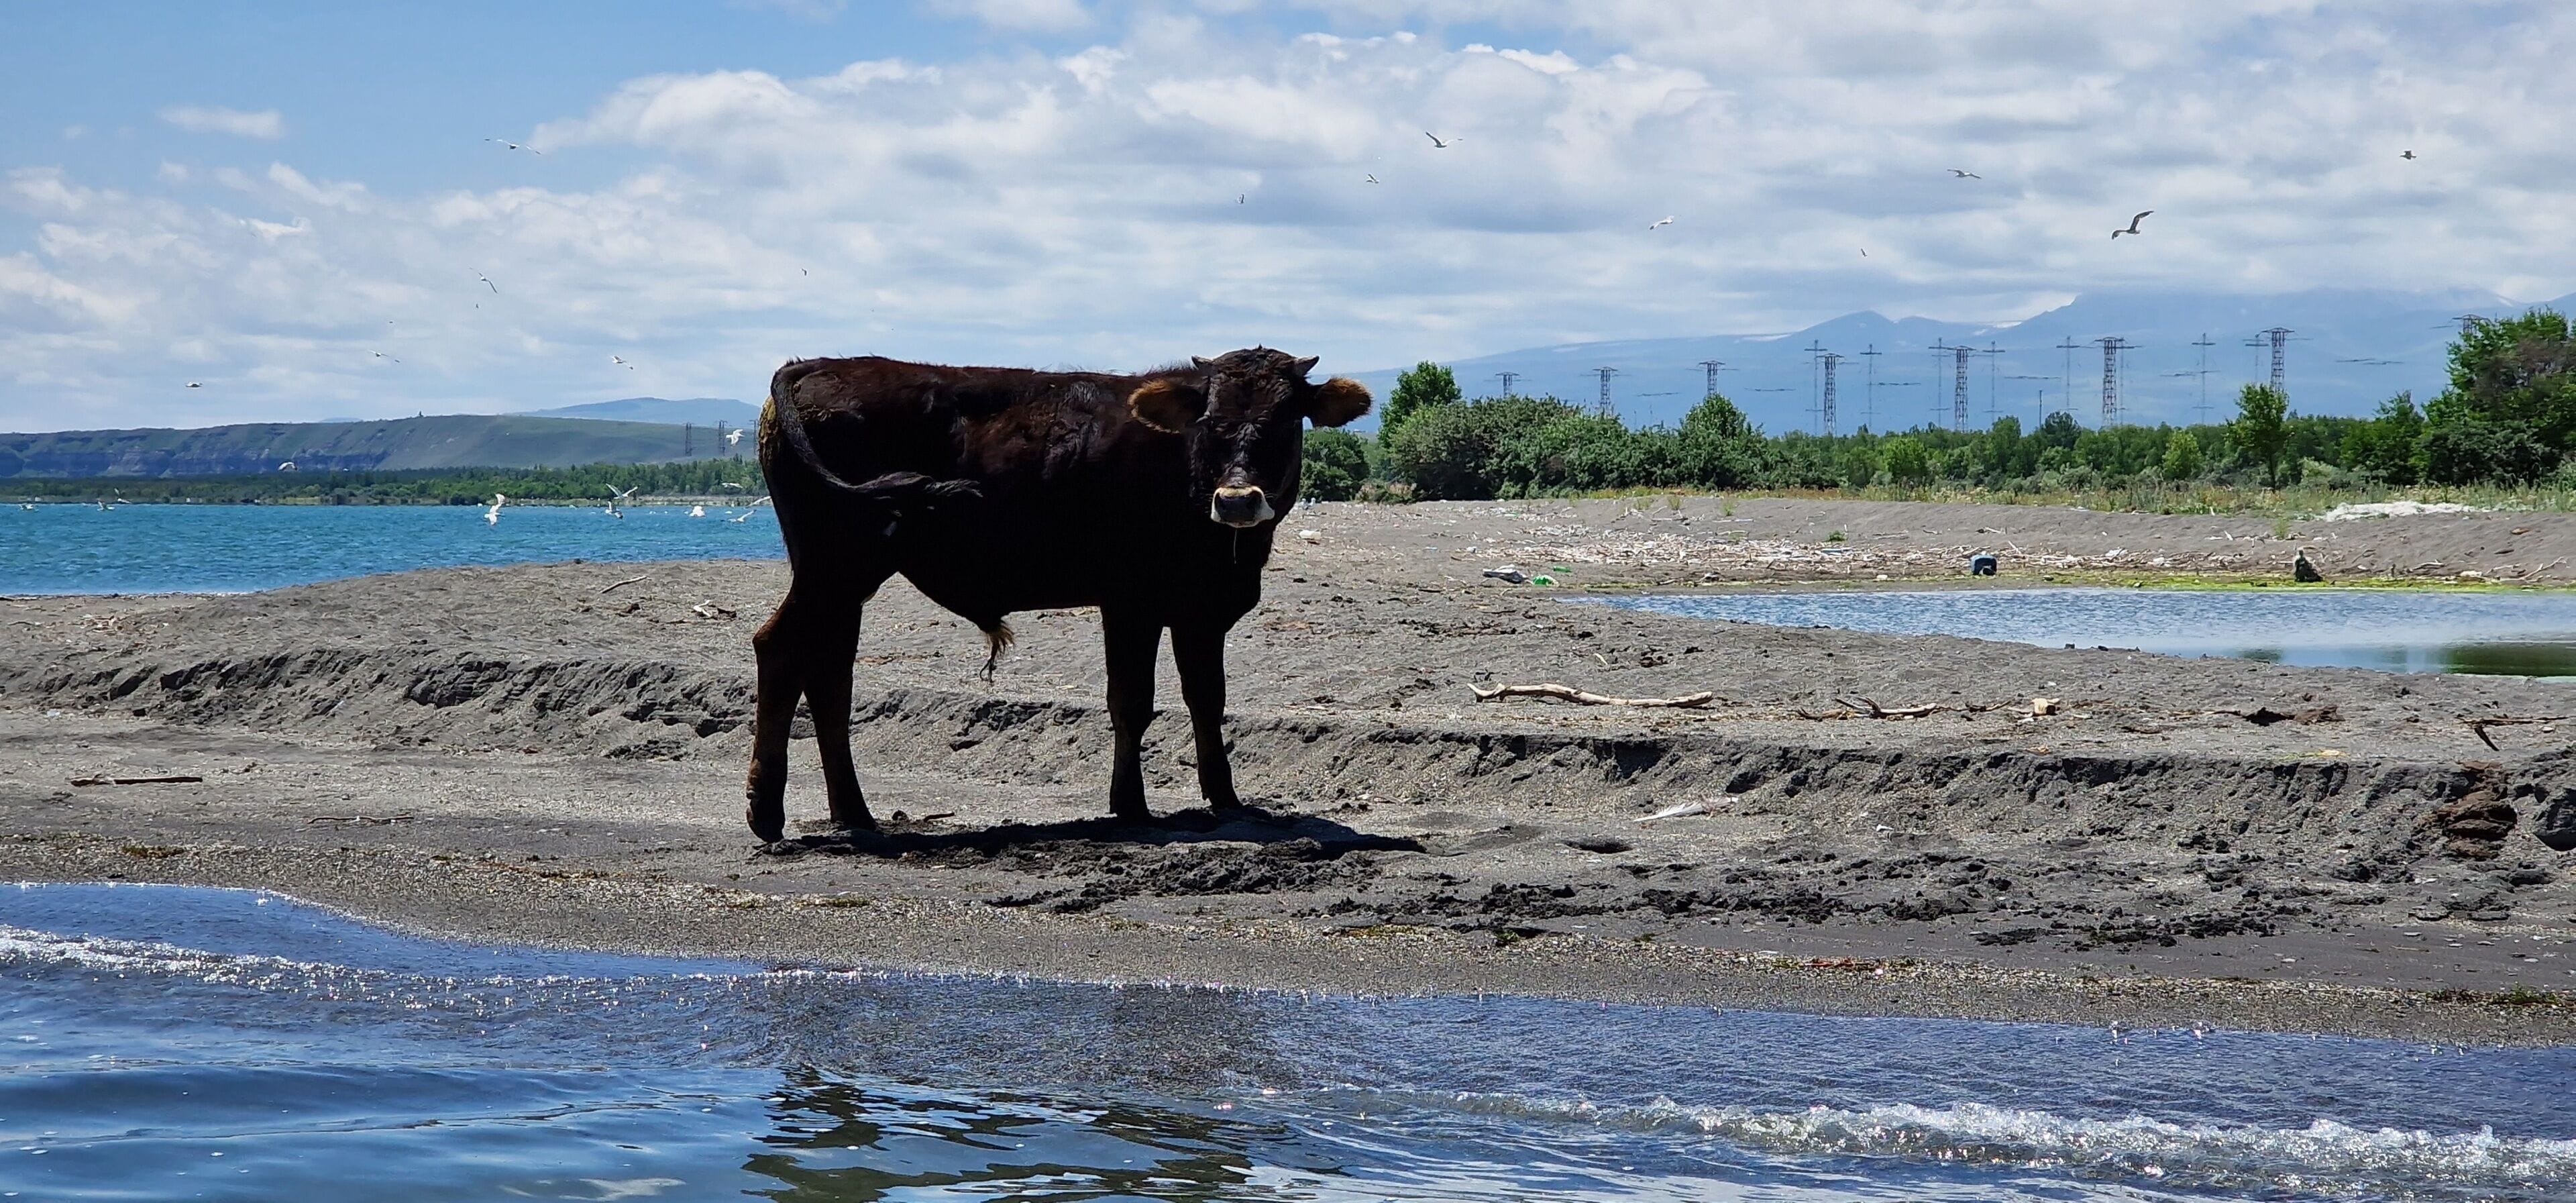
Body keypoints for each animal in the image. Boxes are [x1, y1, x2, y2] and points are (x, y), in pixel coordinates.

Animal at [744, 347, 1373, 843]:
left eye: (1286, 419)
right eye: (1212, 420)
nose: (1238, 500)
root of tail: (815, 365)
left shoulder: (1201, 609)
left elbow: (1206, 699)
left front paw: (1226, 802)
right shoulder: (1132, 601)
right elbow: (1132, 701)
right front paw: (1132, 805)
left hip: (843, 581)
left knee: (828, 676)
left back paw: (852, 812)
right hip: (834, 568)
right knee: (781, 649)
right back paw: (767, 809)